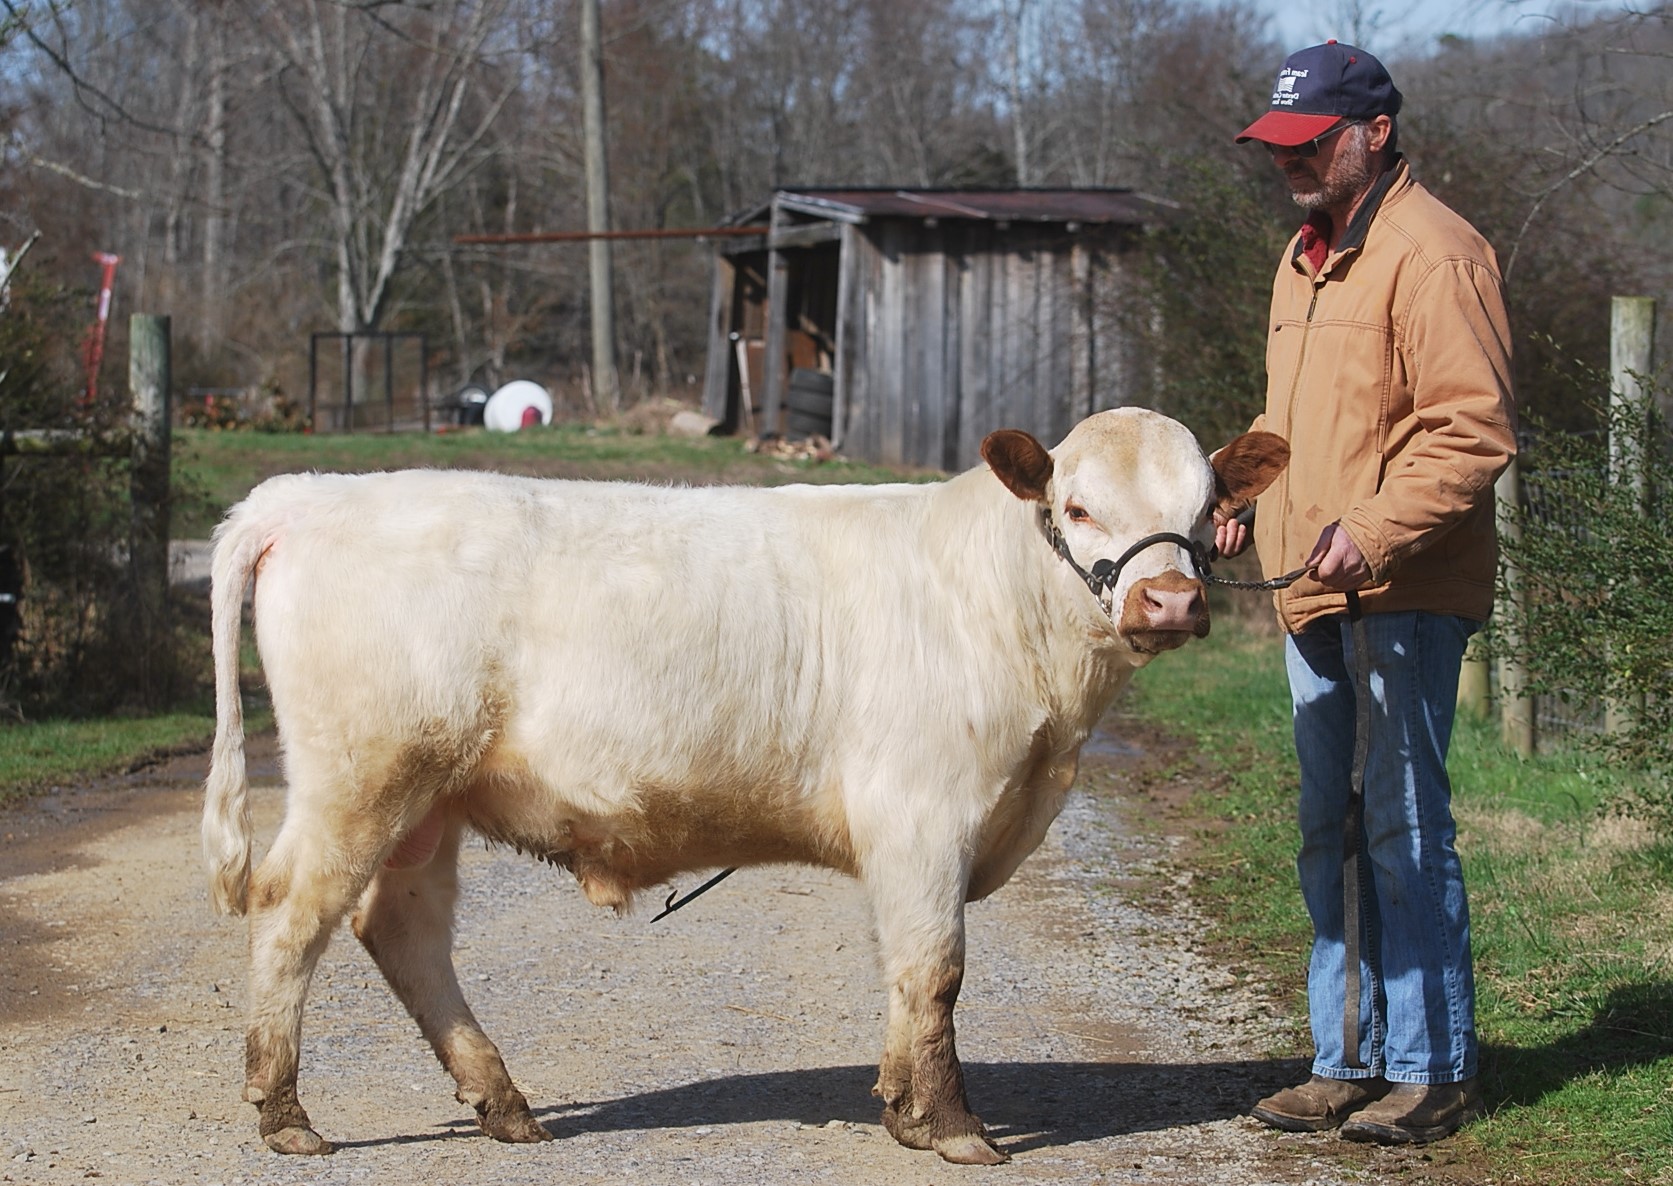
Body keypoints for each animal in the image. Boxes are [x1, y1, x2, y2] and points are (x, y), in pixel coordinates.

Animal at [202, 407, 1287, 1165]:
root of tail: (309, 492)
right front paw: (949, 1125)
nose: (1169, 599)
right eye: (1076, 506)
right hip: (363, 773)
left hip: (428, 799)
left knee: (401, 927)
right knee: (293, 912)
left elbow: (903, 971)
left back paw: (501, 1102)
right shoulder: (923, 811)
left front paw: (899, 1107)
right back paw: (285, 1112)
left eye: (1206, 512)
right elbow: (933, 971)